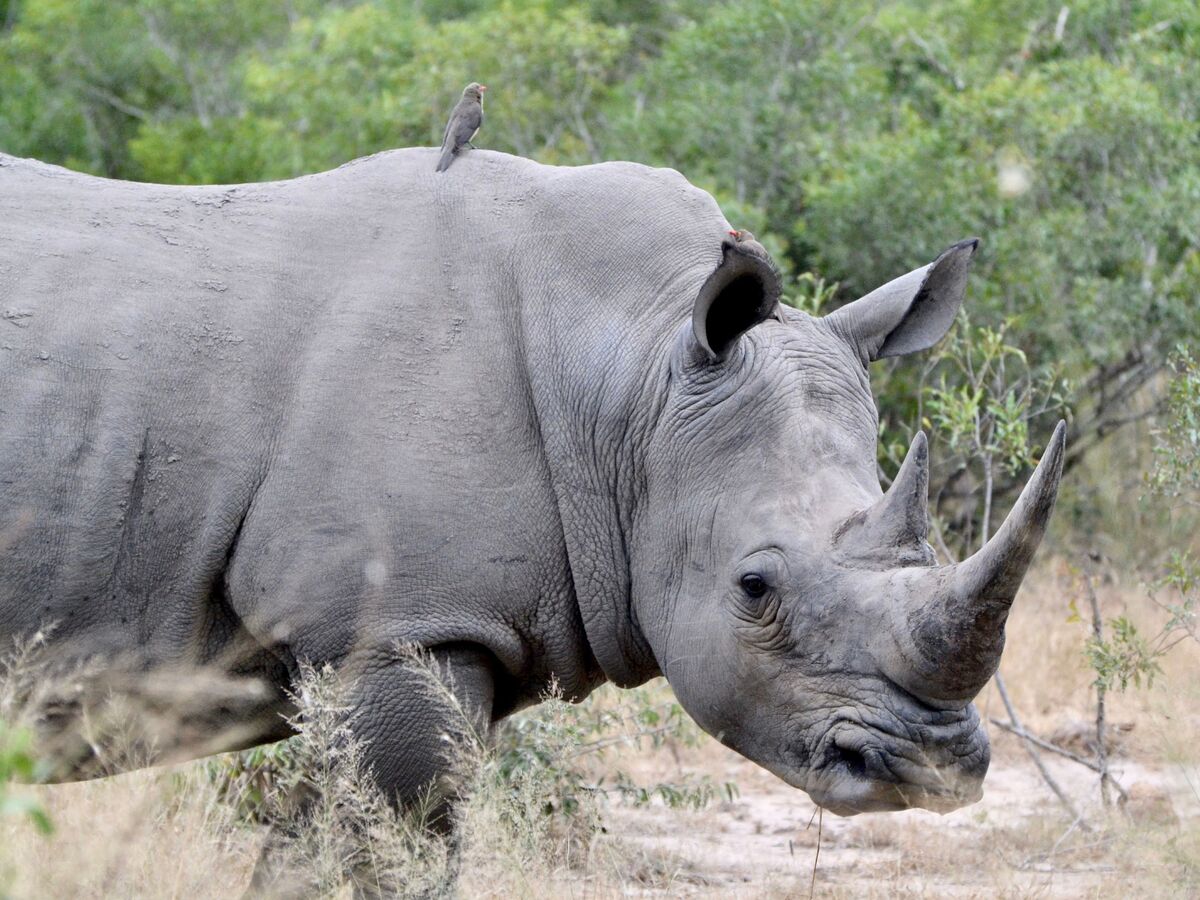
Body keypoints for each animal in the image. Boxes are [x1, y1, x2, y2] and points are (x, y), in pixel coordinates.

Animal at [0, 148, 1064, 817]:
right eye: (755, 588)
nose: (928, 772)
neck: (634, 373)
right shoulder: (394, 627)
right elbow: (386, 842)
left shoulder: (449, 622)